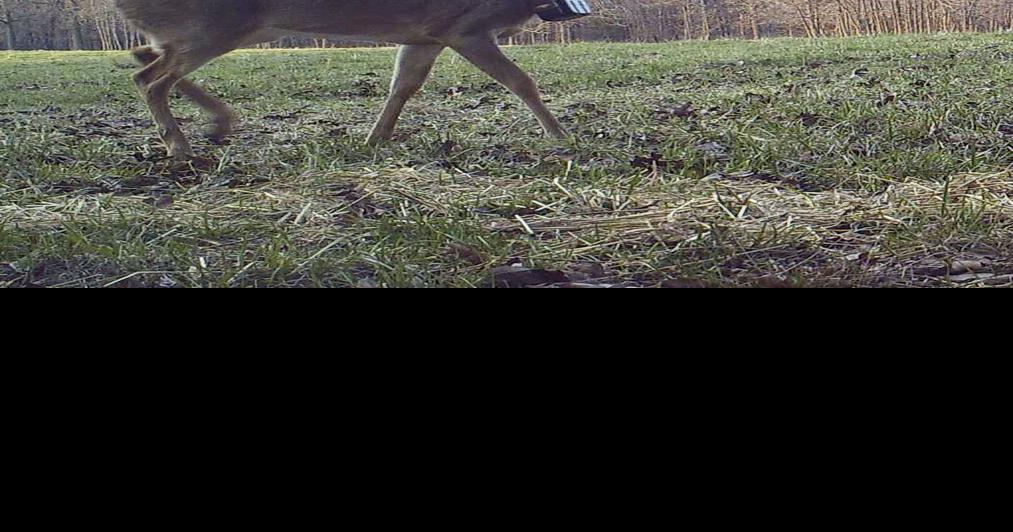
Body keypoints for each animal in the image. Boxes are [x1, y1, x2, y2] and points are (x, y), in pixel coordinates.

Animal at [115, 0, 592, 162]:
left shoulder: (426, 34)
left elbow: (404, 85)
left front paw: (376, 137)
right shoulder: (464, 27)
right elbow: (521, 81)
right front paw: (561, 134)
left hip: (228, 29)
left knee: (145, 58)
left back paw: (219, 123)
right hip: (215, 25)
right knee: (149, 77)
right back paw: (180, 144)